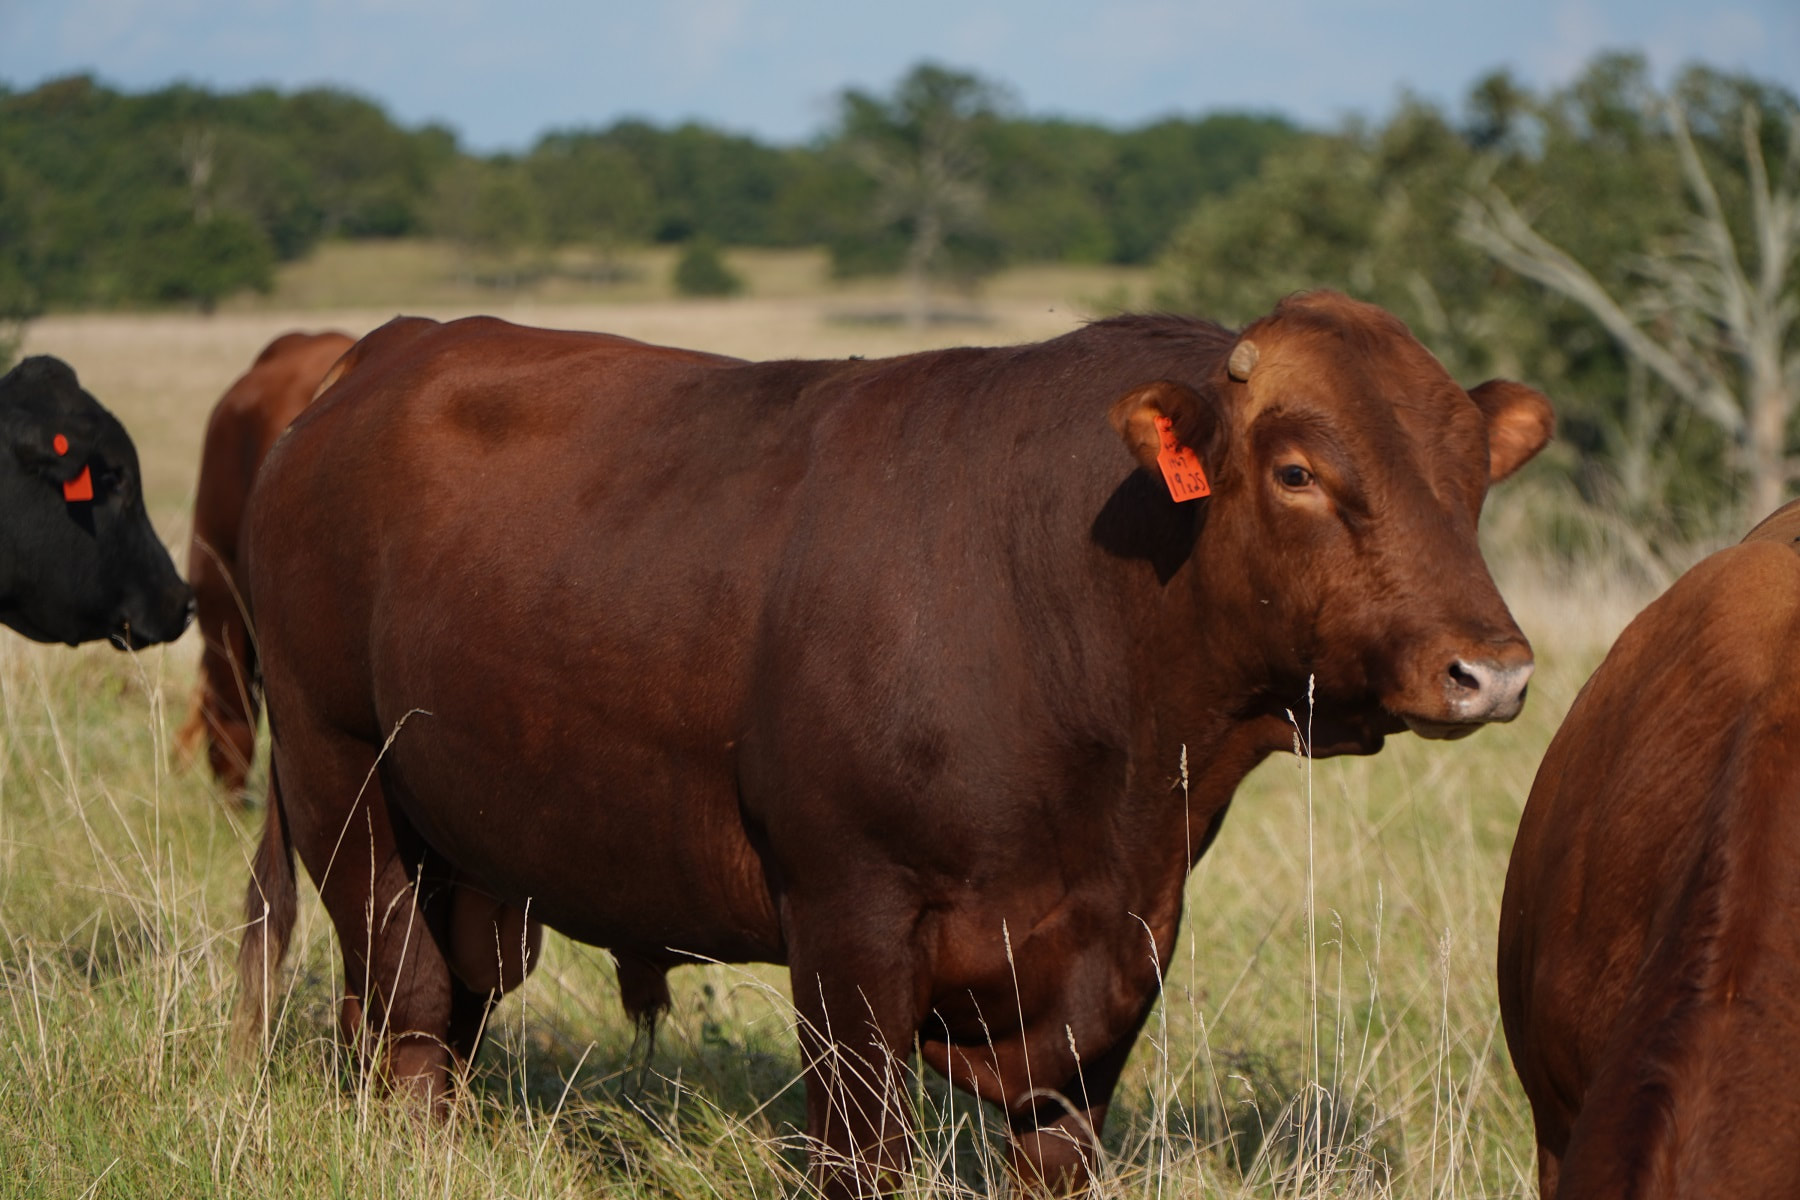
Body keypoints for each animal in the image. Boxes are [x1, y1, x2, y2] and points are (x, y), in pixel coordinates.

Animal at [234, 291, 1552, 1196]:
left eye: (1474, 473)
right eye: (1296, 470)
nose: (1492, 669)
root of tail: (387, 349)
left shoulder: (1119, 950)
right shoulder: (850, 924)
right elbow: (862, 1153)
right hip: (340, 775)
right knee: (408, 1012)